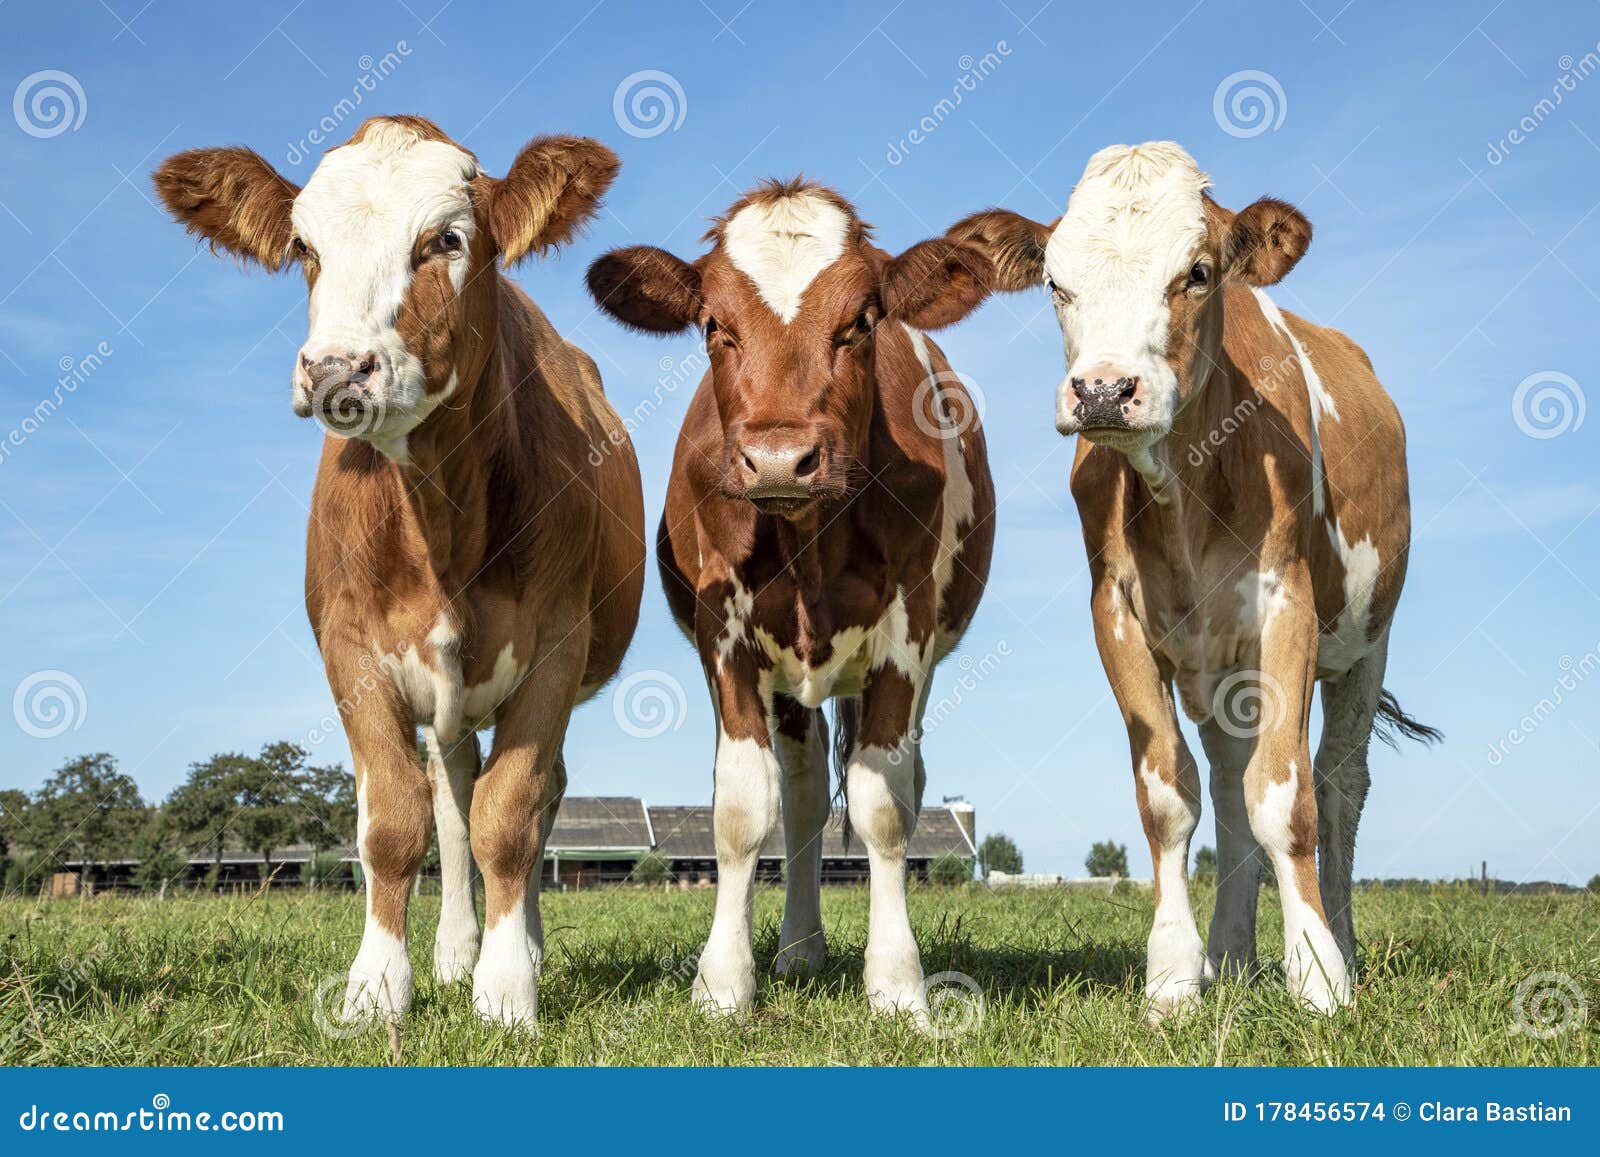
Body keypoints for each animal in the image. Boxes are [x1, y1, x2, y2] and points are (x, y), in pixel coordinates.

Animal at [154, 116, 646, 1028]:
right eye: (304, 247)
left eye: (446, 239)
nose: (335, 369)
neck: (438, 511)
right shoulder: (350, 649)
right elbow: (395, 820)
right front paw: (379, 986)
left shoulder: (556, 648)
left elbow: (509, 816)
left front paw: (507, 987)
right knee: (450, 792)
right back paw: (455, 949)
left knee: (531, 797)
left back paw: (519, 943)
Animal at [586, 180, 996, 1021]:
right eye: (715, 324)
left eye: (862, 320)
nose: (778, 458)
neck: (809, 541)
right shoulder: (723, 632)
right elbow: (744, 806)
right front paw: (723, 981)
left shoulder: (907, 633)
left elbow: (883, 806)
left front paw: (898, 982)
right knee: (804, 794)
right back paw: (799, 949)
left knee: (902, 782)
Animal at [948, 142, 1437, 1021]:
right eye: (1055, 283)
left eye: (1199, 272)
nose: (1103, 389)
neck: (1185, 485)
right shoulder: (1116, 614)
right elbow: (1172, 797)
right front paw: (1174, 976)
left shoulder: (1288, 607)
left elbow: (1286, 793)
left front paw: (1319, 975)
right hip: (1220, 671)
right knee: (1230, 784)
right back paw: (1232, 957)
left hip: (1366, 641)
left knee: (1339, 782)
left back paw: (1339, 940)